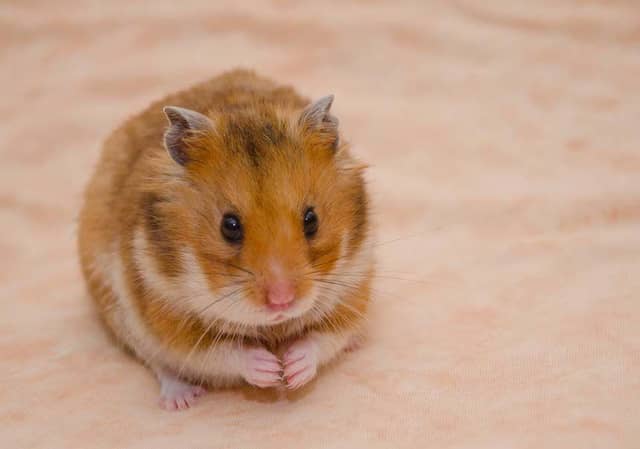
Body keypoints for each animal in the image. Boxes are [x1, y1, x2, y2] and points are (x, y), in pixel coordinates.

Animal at [77, 69, 373, 410]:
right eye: (229, 226)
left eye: (311, 220)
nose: (282, 301)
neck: (272, 326)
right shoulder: (167, 315)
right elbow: (225, 352)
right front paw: (271, 371)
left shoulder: (353, 288)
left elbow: (322, 339)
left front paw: (292, 370)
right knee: (160, 365)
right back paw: (181, 400)